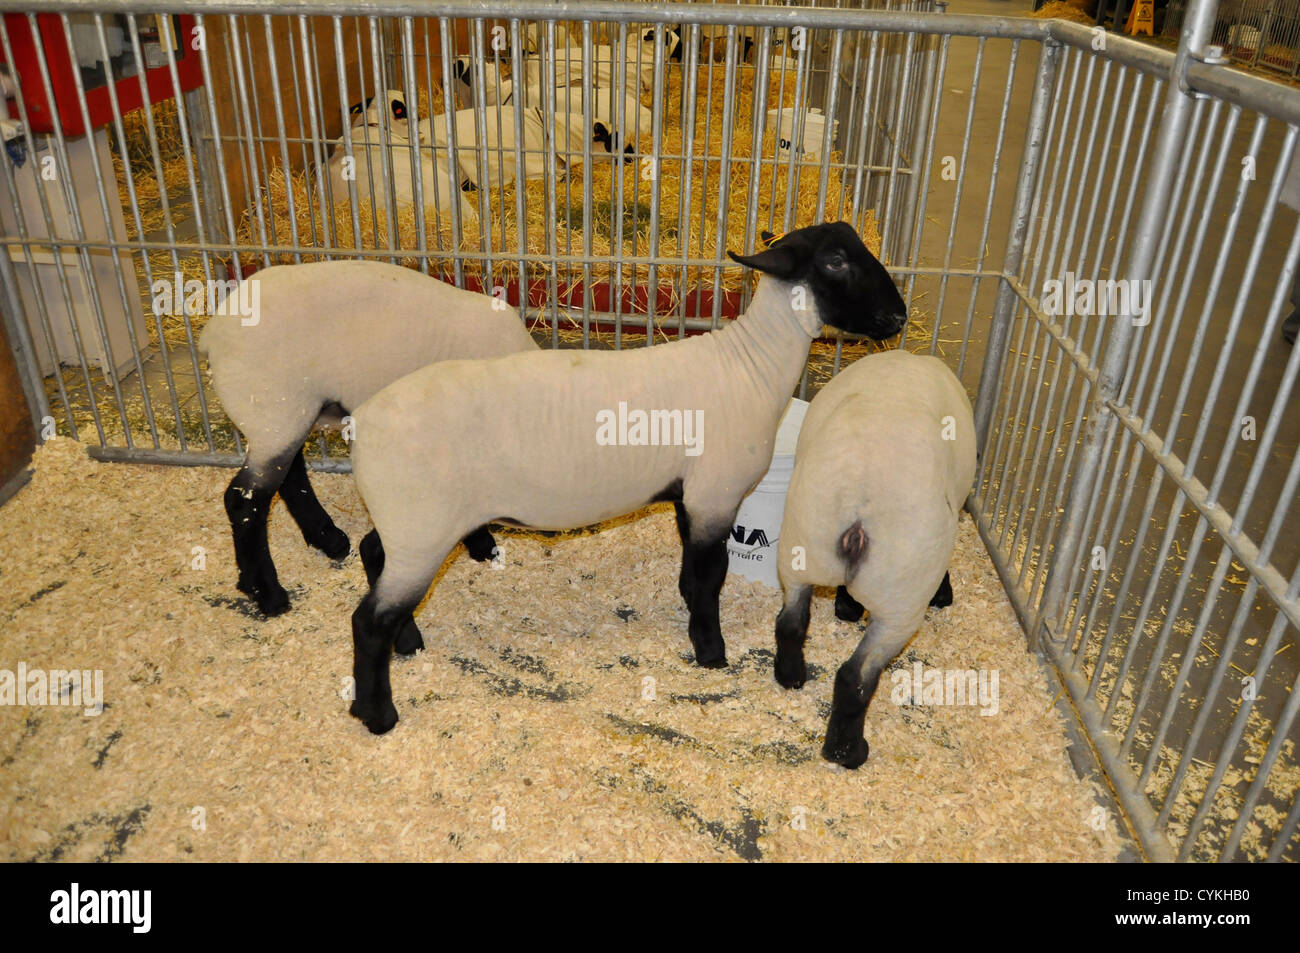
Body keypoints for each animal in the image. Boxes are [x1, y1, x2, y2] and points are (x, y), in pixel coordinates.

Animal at [199, 259, 540, 617]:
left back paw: (329, 540)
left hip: (288, 416)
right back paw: (268, 593)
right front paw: (483, 545)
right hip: (272, 411)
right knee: (245, 499)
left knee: (289, 477)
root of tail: (213, 333)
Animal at [343, 222, 907, 734]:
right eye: (835, 261)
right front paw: (711, 649)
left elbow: (691, 570)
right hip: (423, 529)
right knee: (368, 620)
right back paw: (377, 713)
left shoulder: (690, 495)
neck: (752, 365)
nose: (899, 316)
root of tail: (362, 422)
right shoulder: (716, 492)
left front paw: (693, 619)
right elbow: (711, 575)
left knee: (372, 551)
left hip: (411, 521)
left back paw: (408, 642)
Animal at [771, 349, 977, 768]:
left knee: (790, 623)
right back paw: (847, 752)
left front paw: (847, 607)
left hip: (799, 553)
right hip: (900, 603)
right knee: (854, 677)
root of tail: (858, 507)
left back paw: (792, 677)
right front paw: (944, 593)